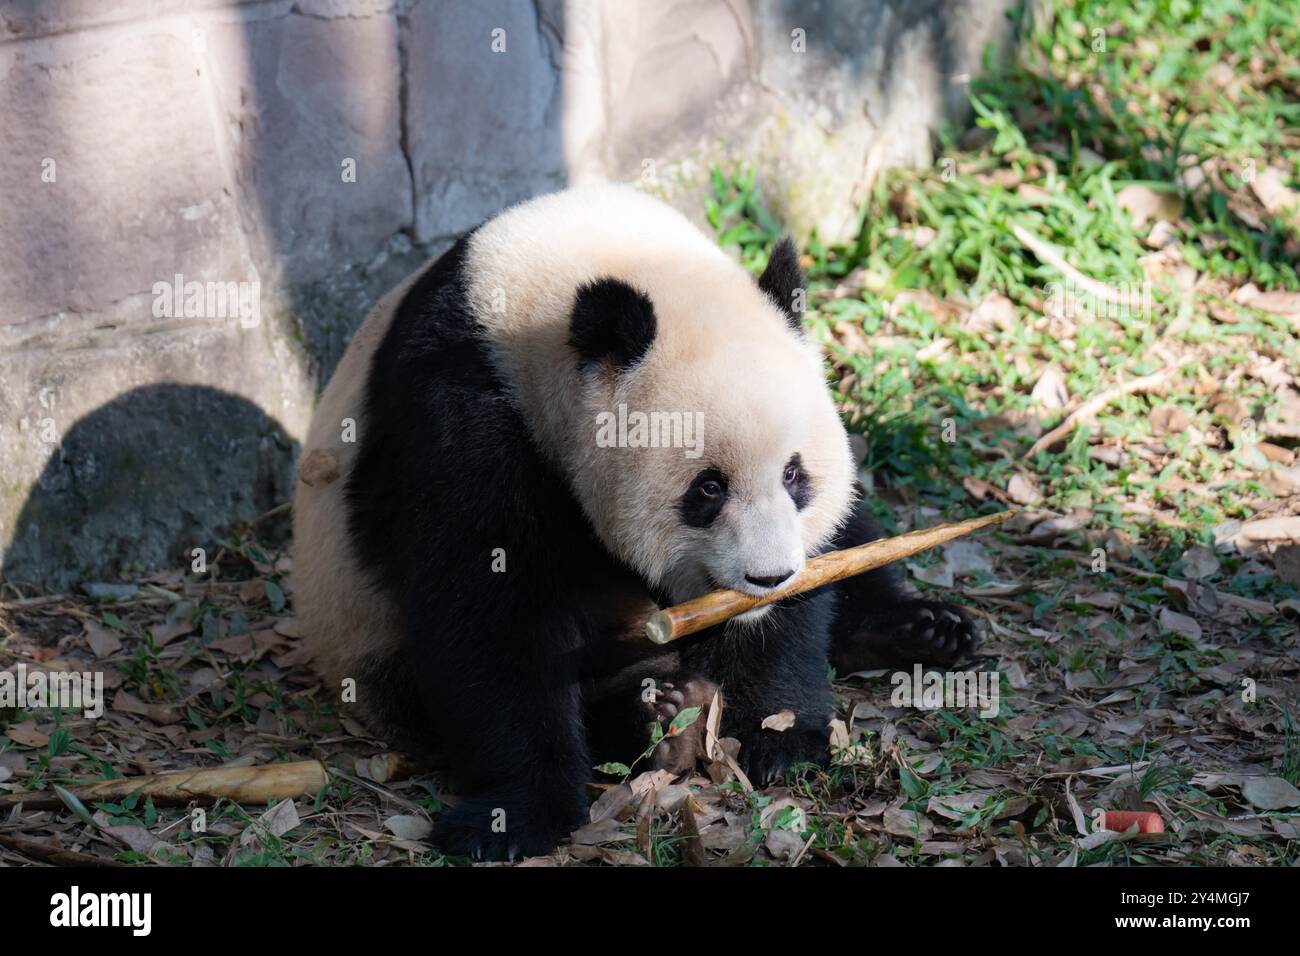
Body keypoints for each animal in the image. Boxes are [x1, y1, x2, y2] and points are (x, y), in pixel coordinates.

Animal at [292, 183, 978, 859]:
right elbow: (487, 613)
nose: (767, 579)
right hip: (362, 630)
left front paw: (779, 736)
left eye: (793, 475)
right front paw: (513, 816)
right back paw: (660, 716)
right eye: (708, 488)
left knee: (855, 541)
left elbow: (804, 602)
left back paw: (920, 630)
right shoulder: (461, 414)